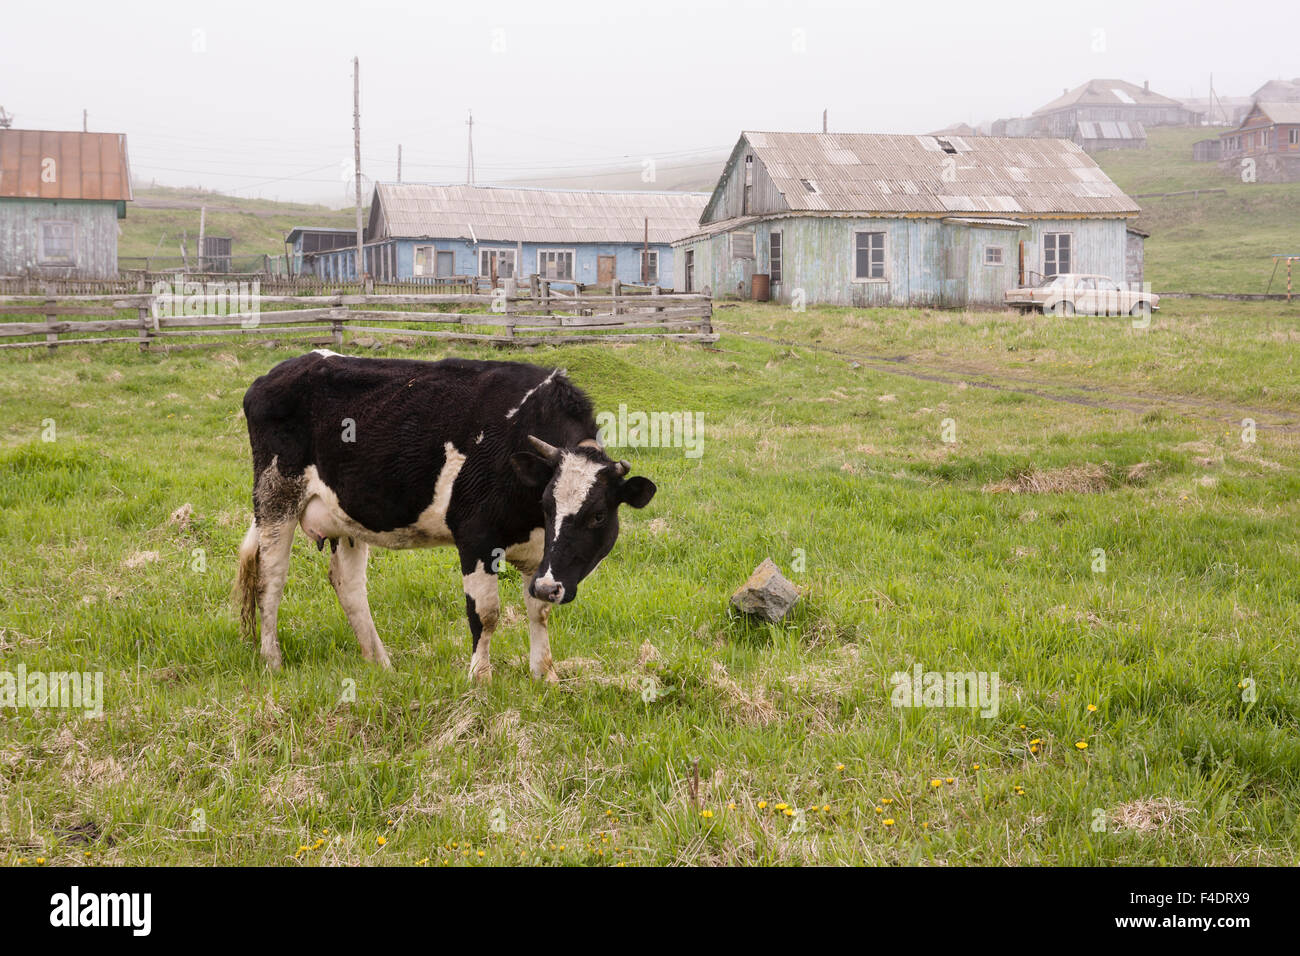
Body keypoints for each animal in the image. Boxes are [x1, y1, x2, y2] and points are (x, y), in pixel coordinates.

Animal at [233, 350, 656, 682]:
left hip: (346, 516)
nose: (551, 587)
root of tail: (276, 372)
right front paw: (480, 679)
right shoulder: (476, 537)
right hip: (275, 498)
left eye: (598, 516)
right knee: (270, 579)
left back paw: (381, 664)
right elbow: (485, 613)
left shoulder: (540, 555)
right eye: (548, 504)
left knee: (348, 584)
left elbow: (538, 612)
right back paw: (272, 660)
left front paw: (545, 676)